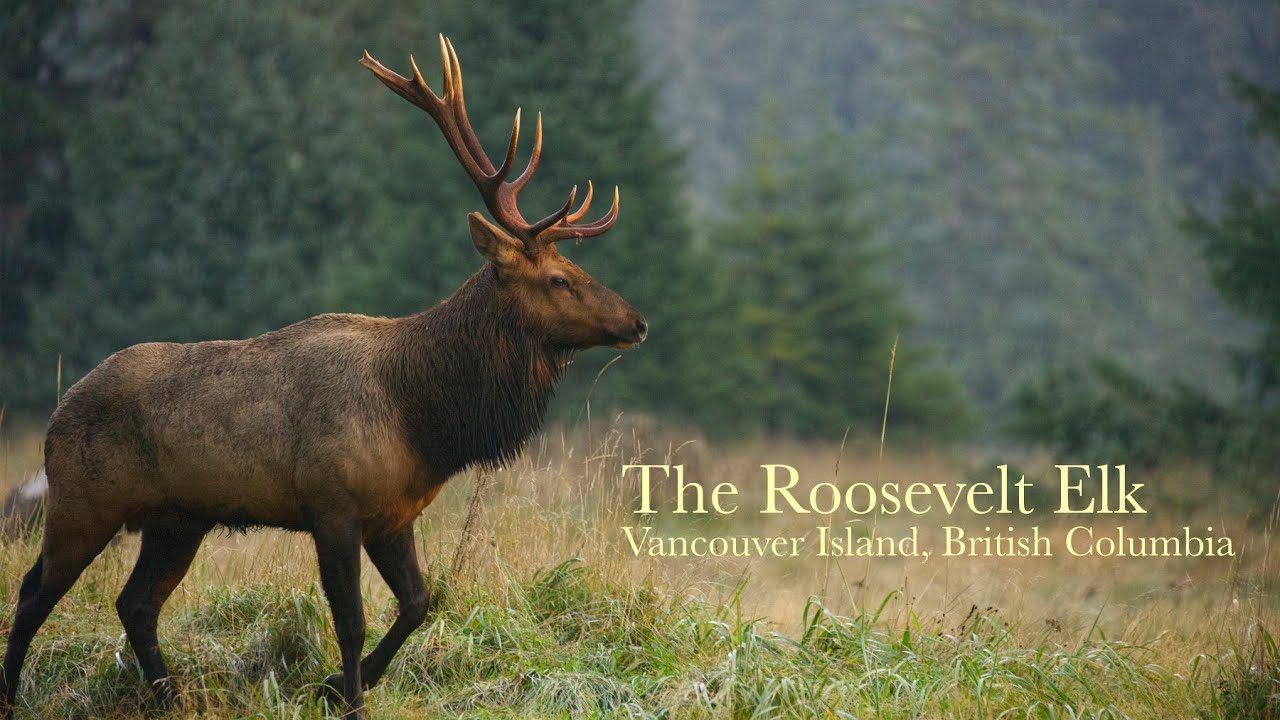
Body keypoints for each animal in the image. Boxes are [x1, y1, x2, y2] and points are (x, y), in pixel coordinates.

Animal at [0, 36, 647, 719]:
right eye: (559, 278)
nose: (637, 322)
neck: (423, 419)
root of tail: (55, 414)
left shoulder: (393, 514)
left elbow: (419, 603)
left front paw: (337, 684)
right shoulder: (332, 505)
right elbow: (351, 620)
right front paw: (347, 696)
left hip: (176, 520)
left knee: (135, 603)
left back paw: (172, 697)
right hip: (82, 501)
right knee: (33, 592)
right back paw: (15, 695)